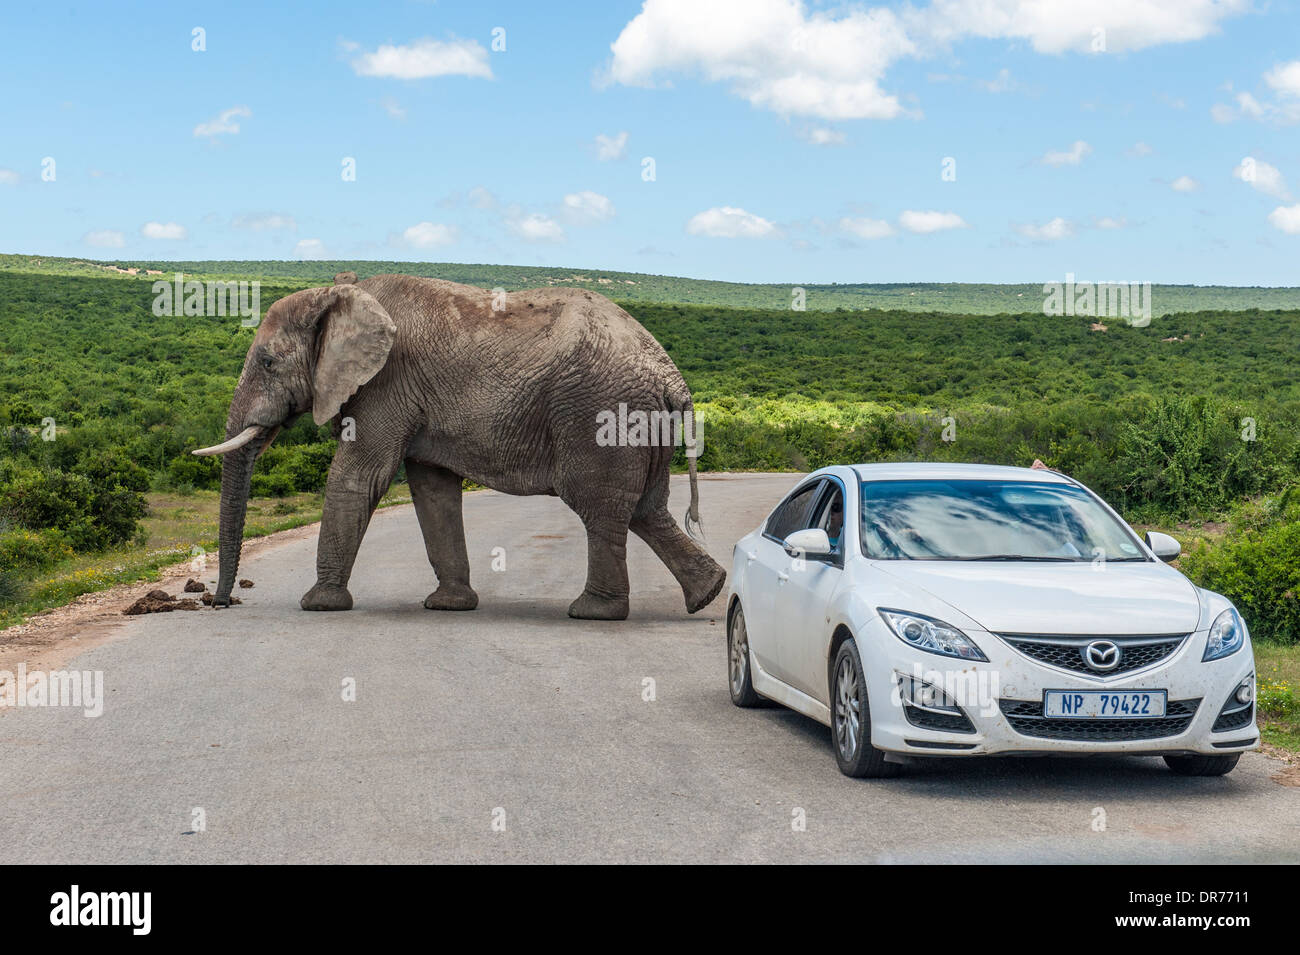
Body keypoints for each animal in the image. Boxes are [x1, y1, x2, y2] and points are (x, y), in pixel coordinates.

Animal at [192, 274, 727, 621]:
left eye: (266, 362)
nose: (218, 602)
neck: (342, 291)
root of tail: (672, 376)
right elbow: (432, 491)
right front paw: (448, 606)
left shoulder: (386, 382)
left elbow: (359, 477)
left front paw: (318, 604)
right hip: (641, 422)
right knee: (645, 509)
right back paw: (708, 594)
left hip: (601, 414)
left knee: (599, 505)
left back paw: (595, 612)